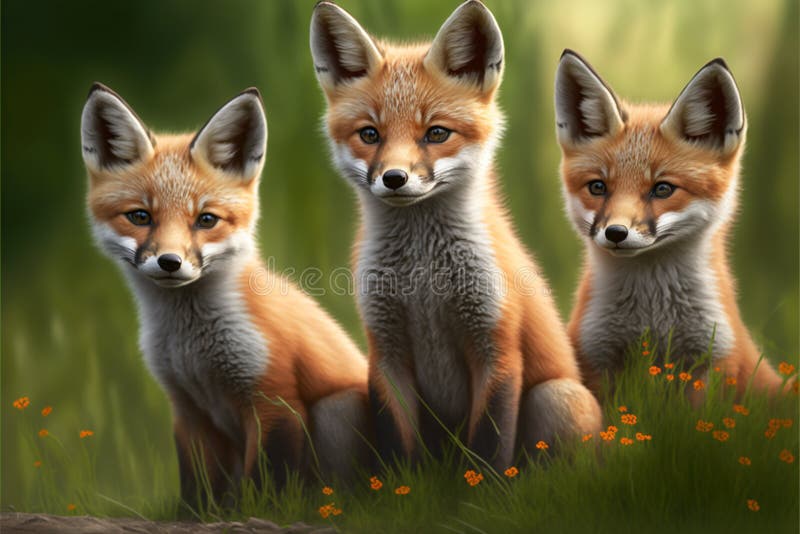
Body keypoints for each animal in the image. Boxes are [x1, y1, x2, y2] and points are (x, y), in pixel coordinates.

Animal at [81, 84, 370, 503]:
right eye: (140, 217)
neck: (193, 351)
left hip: (339, 408)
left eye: (206, 220)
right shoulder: (187, 411)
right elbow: (197, 492)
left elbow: (266, 484)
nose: (170, 262)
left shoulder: (274, 402)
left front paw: (260, 511)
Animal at [310, 1, 602, 470]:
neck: (424, 280)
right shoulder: (385, 349)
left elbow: (488, 445)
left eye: (436, 133)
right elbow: (399, 444)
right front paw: (406, 487)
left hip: (558, 396)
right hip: (346, 403)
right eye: (370, 134)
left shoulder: (496, 344)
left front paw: (482, 488)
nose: (394, 178)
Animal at [554, 50, 785, 397]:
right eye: (597, 187)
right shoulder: (595, 356)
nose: (616, 233)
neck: (654, 322)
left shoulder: (713, 361)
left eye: (662, 189)